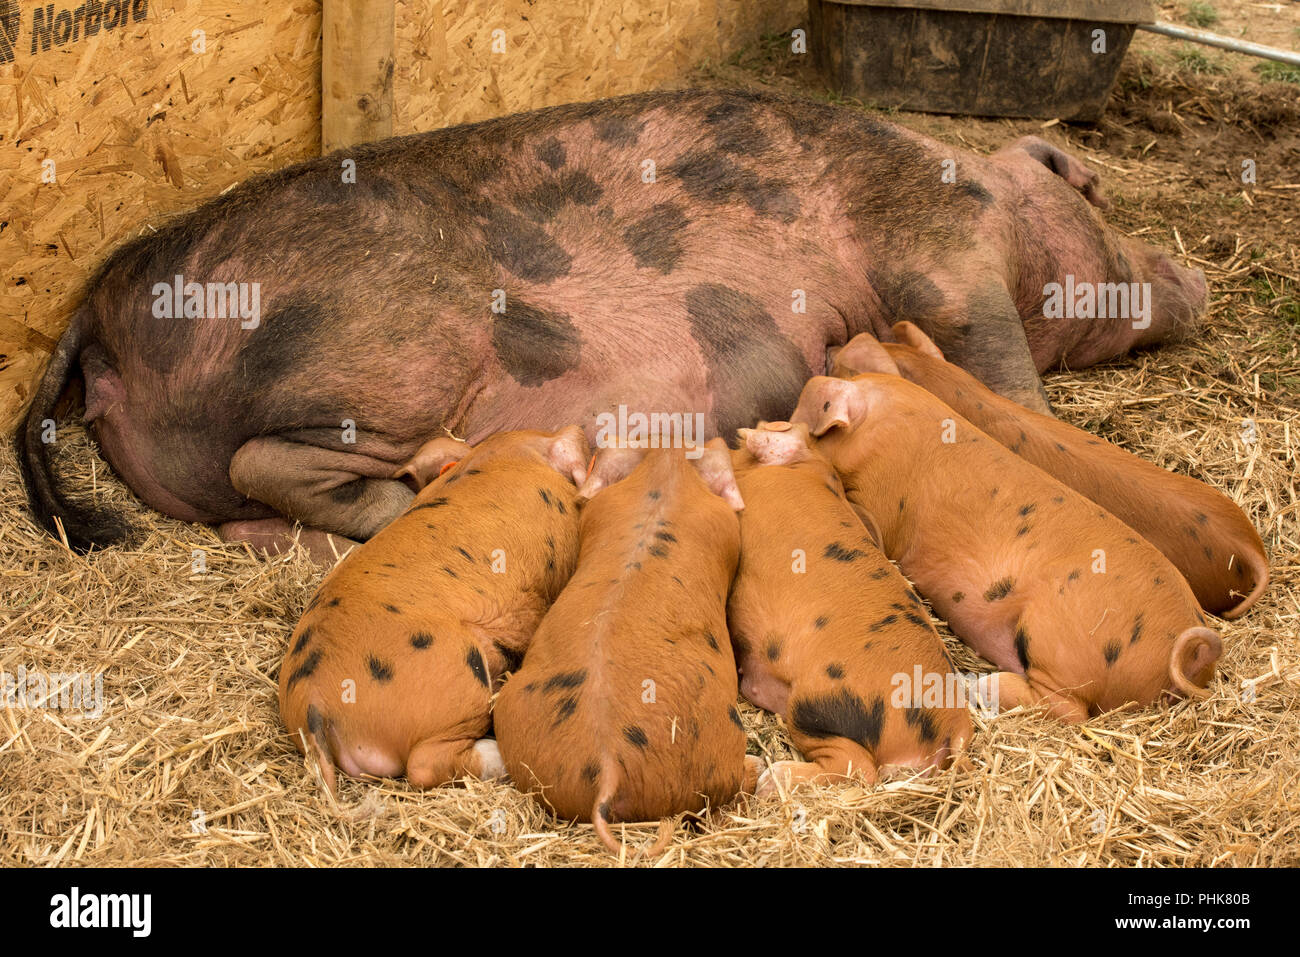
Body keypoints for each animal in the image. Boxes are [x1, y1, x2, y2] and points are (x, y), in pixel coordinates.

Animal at [18, 88, 1207, 555]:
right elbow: (1002, 366)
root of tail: (99, 309)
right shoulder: (938, 253)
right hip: (393, 356)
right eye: (1099, 202)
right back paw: (409, 496)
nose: (1195, 277)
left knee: (245, 507)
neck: (985, 195)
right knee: (272, 456)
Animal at [279, 427, 589, 793]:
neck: (507, 456)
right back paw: (499, 755)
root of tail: (314, 701)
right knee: (424, 765)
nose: (577, 430)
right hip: (458, 672)